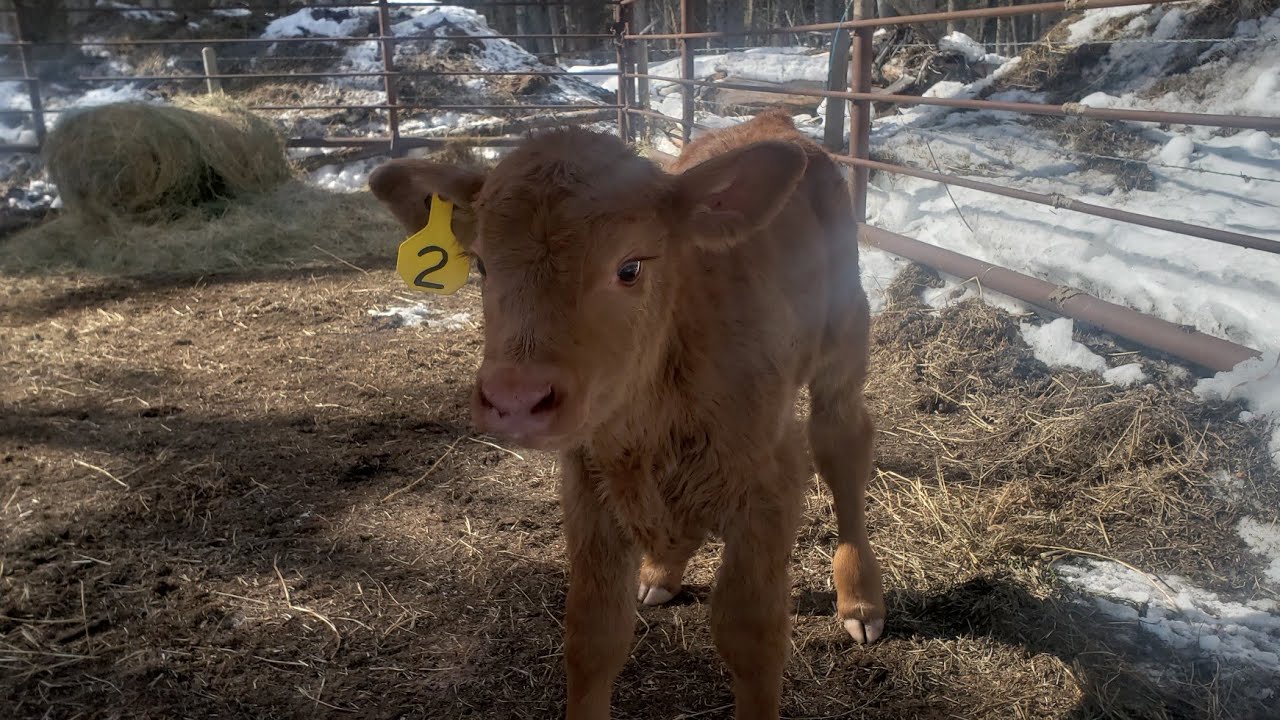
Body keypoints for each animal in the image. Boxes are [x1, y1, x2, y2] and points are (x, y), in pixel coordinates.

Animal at [368, 108, 885, 720]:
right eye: (482, 266)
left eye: (631, 266)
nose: (516, 399)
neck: (651, 418)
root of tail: (775, 120)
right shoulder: (589, 488)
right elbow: (592, 636)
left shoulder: (770, 485)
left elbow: (752, 638)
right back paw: (662, 573)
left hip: (843, 346)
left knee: (843, 443)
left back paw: (861, 600)